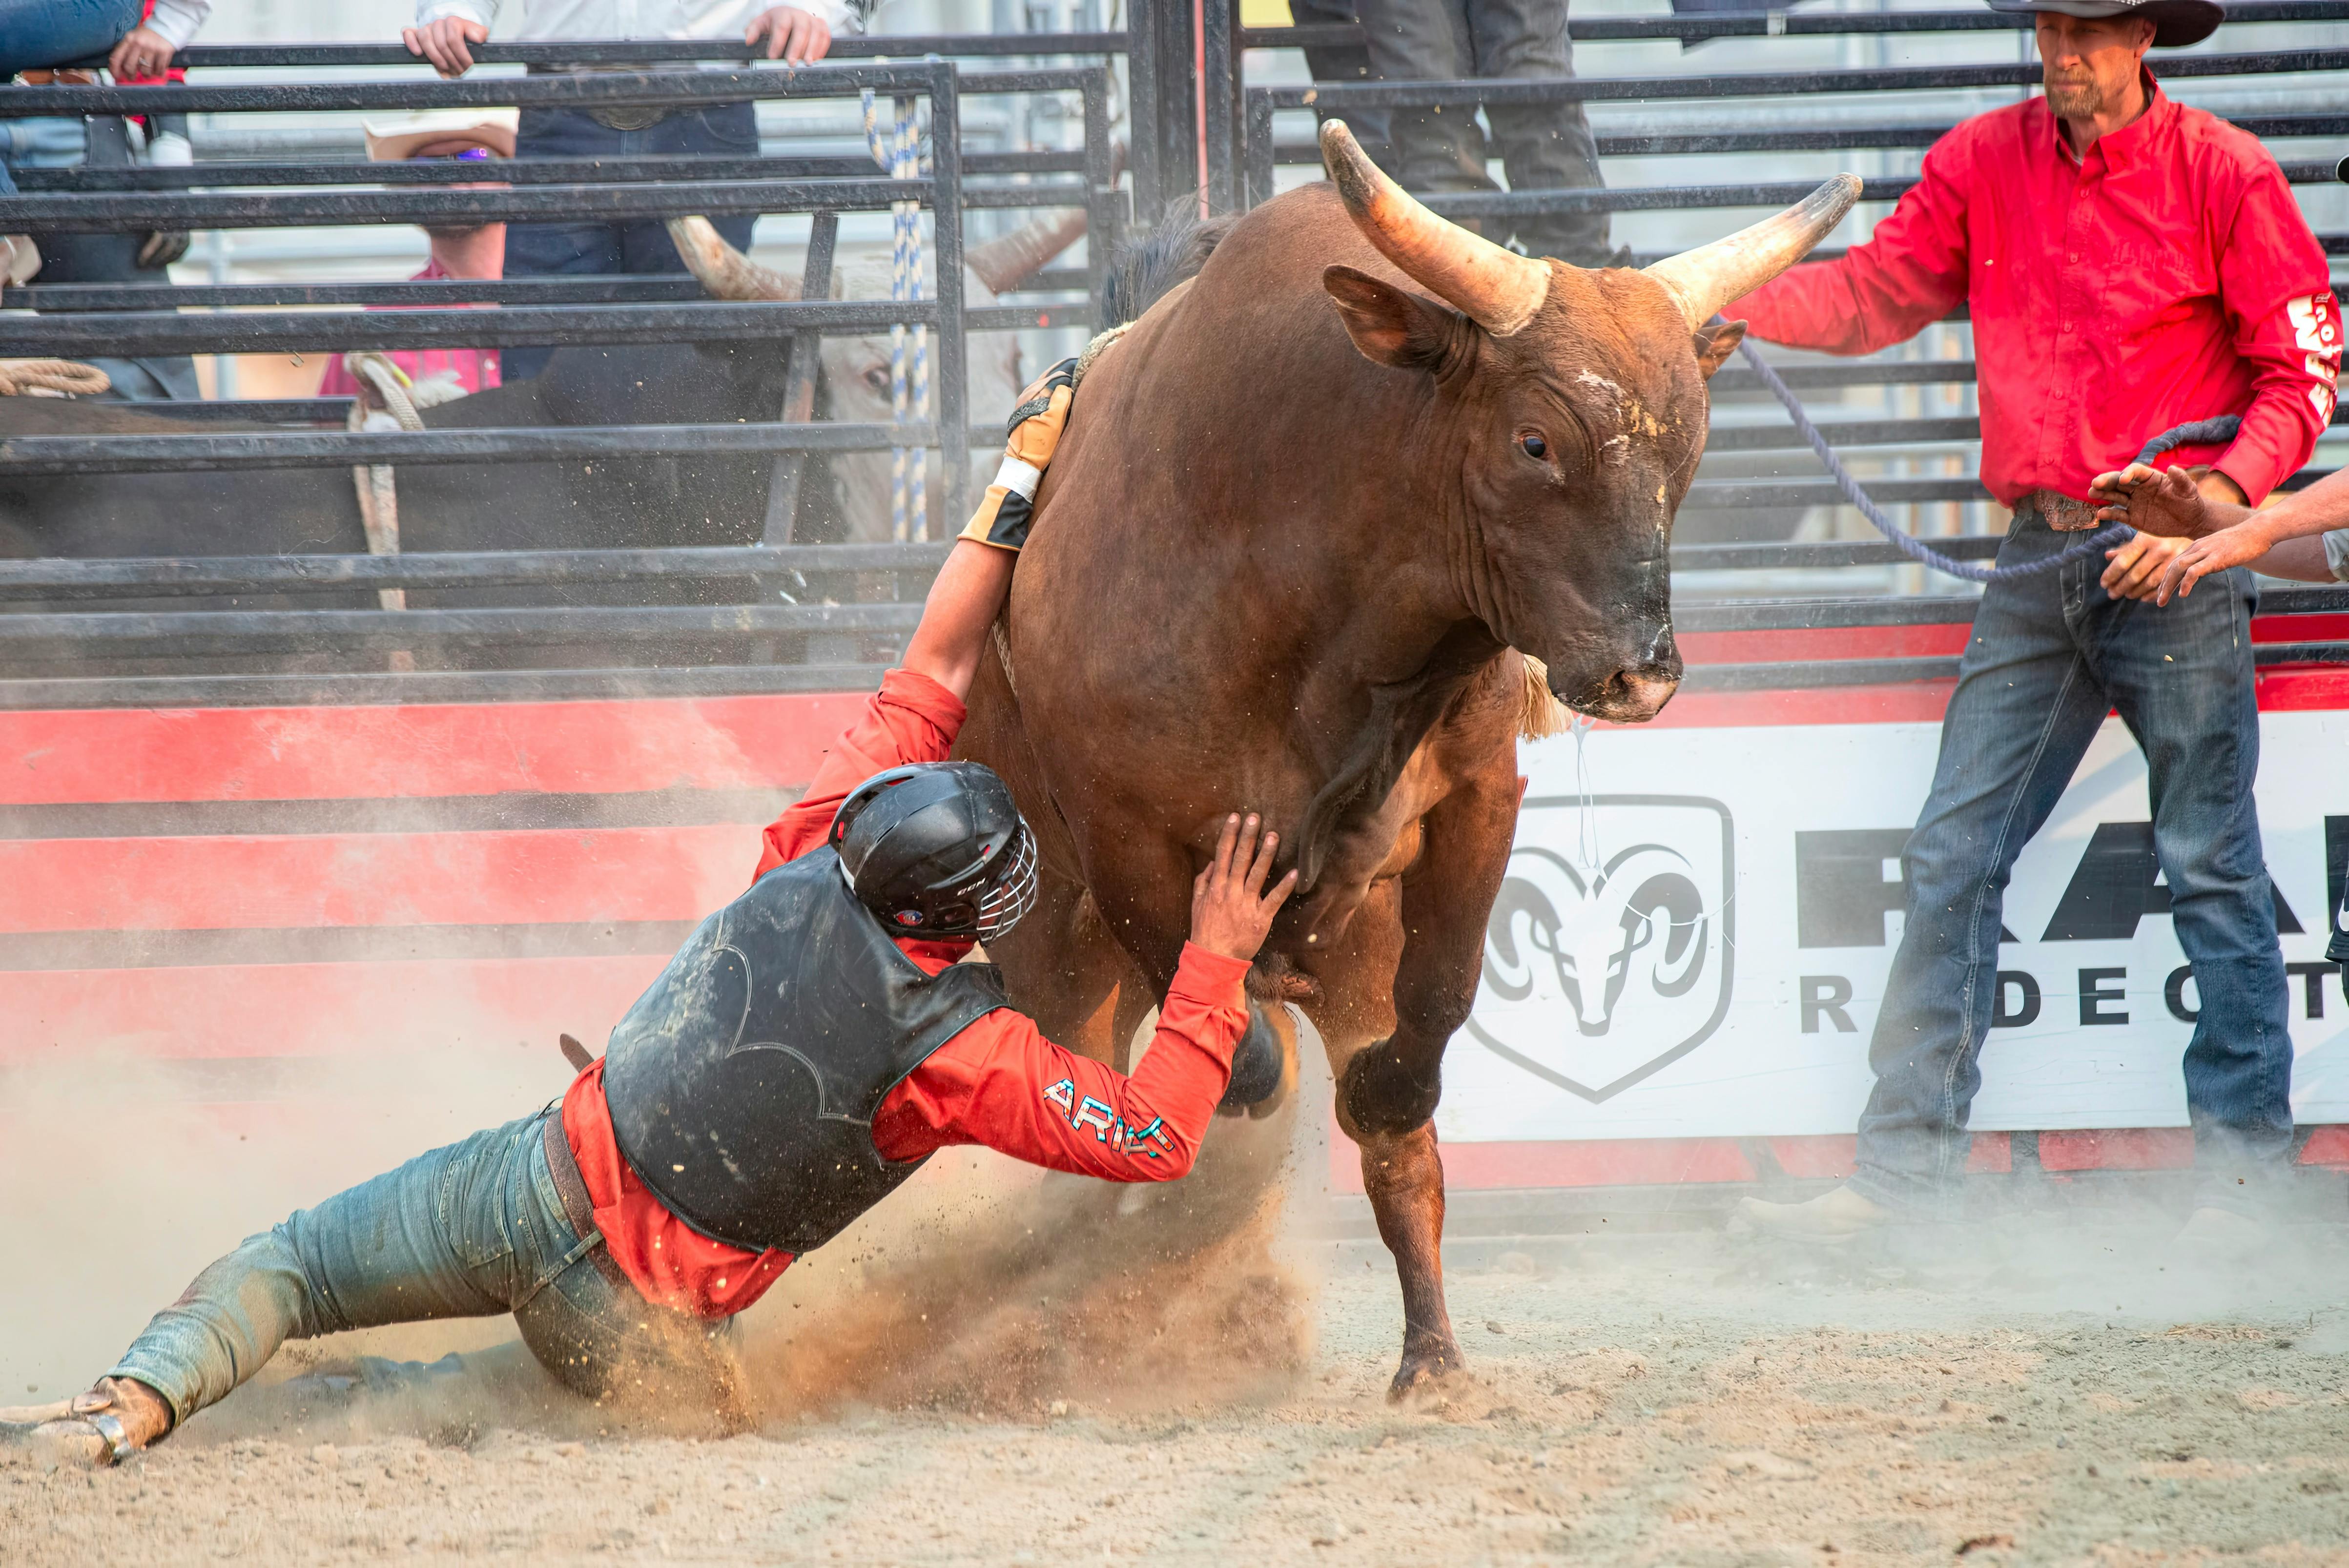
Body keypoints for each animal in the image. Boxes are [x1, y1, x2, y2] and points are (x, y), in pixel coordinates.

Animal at [952, 123, 1855, 1397]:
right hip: (1053, 945)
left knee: (1392, 1147)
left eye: (1685, 451)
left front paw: (1381, 1088)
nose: (1644, 673)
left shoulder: (1475, 801)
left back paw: (1429, 1354)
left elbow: (1432, 1014)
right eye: (1536, 440)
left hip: (1343, 934)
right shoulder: (1125, 842)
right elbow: (1233, 1055)